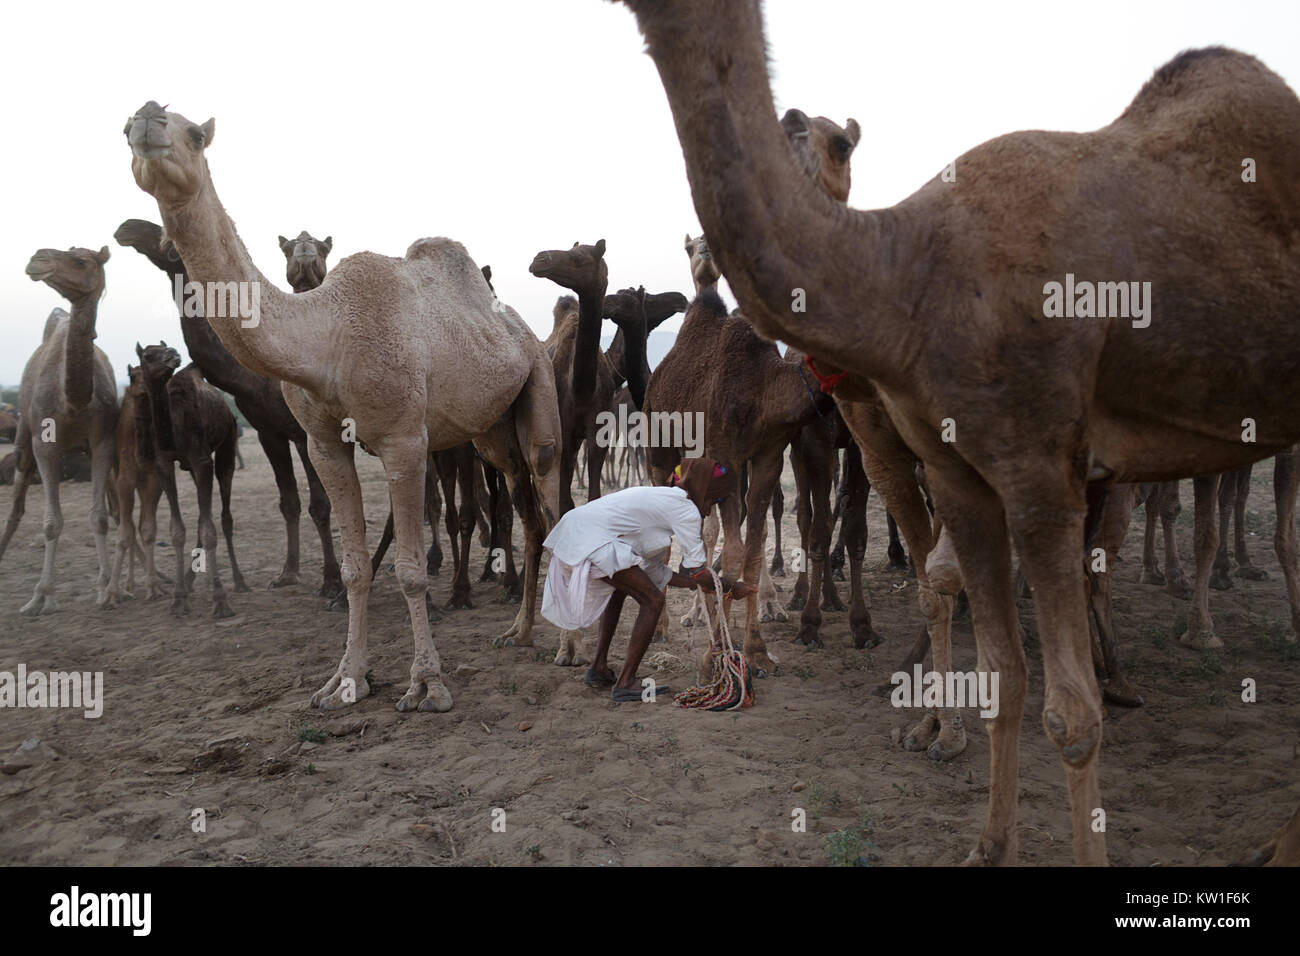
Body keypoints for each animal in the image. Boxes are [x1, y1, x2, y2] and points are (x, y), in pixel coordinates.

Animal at [0, 246, 117, 614]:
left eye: (81, 260)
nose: (38, 258)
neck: (73, 402)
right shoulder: (44, 443)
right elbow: (51, 523)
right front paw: (43, 596)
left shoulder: (102, 439)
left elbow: (99, 517)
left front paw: (106, 589)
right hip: (23, 440)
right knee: (17, 506)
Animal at [114, 219, 343, 598]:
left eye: (165, 237)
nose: (124, 229)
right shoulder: (269, 432)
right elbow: (289, 502)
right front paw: (288, 574)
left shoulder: (305, 432)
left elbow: (321, 503)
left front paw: (332, 584)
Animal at [622, 2, 1300, 864]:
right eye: (787, 126)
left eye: (839, 145)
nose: (796, 129)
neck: (911, 277)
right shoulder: (920, 456)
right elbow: (959, 610)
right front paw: (944, 749)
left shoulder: (1036, 465)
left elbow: (1061, 699)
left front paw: (945, 721)